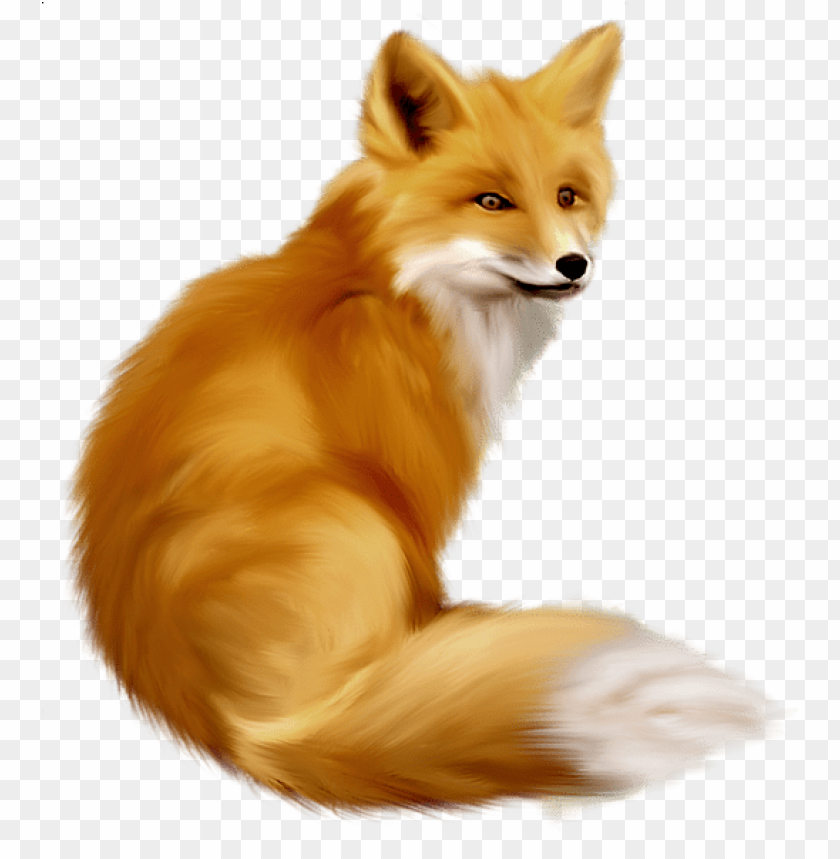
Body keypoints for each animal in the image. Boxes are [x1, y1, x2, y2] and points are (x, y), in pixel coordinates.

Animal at [72, 23, 766, 811]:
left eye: (568, 195)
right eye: (492, 200)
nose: (574, 264)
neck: (390, 285)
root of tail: (241, 731)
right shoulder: (412, 480)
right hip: (357, 520)